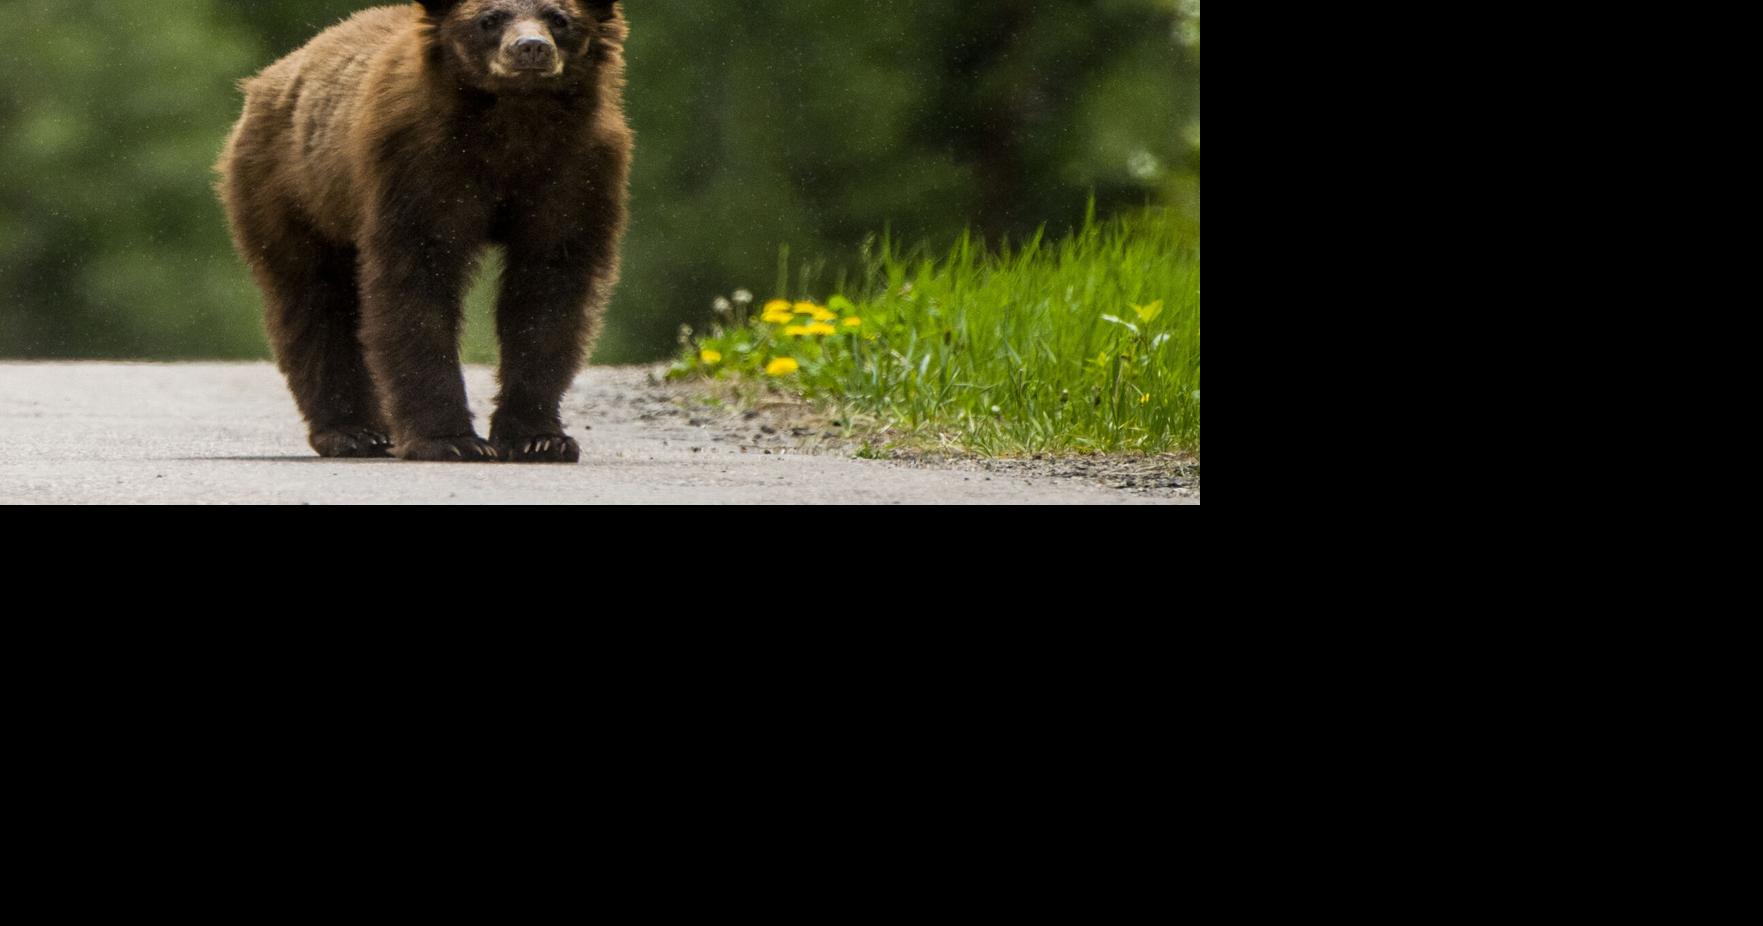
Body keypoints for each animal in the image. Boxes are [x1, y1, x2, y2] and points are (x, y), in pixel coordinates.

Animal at [216, 1, 632, 463]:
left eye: (559, 18)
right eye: (489, 19)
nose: (531, 48)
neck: (513, 120)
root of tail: (270, 76)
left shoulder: (576, 171)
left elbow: (549, 292)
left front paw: (541, 438)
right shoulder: (419, 167)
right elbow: (416, 287)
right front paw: (451, 439)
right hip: (293, 194)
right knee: (313, 301)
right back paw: (353, 432)